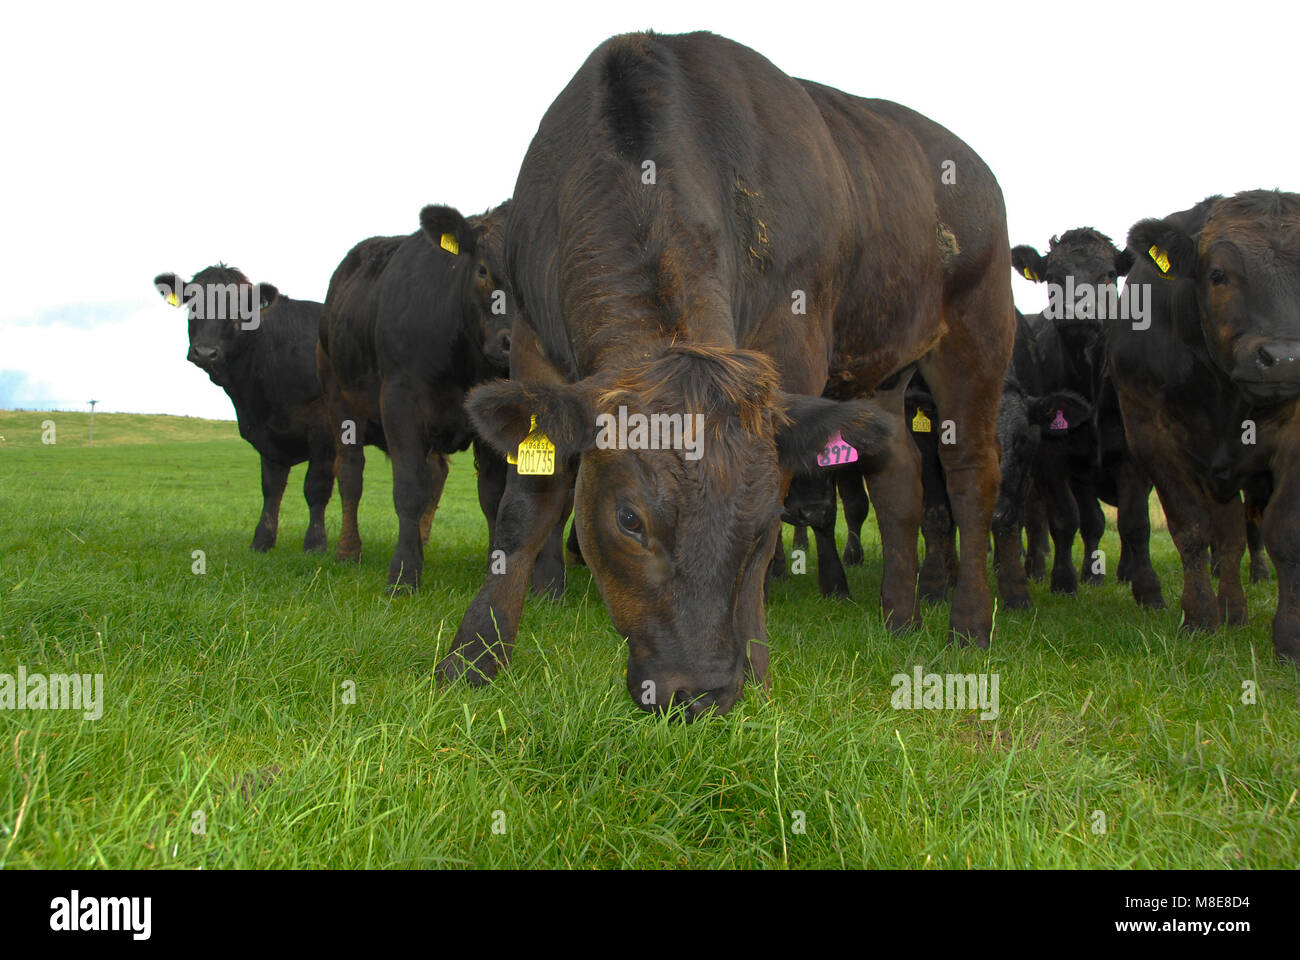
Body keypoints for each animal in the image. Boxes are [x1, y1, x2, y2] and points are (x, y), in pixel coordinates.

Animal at [154, 266, 334, 552]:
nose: (205, 352)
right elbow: (272, 488)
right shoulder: (268, 432)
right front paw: (262, 541)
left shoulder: (323, 425)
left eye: (238, 309)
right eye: (193, 303)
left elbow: (316, 486)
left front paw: (315, 544)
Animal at [318, 203, 539, 592]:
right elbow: (409, 488)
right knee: (350, 473)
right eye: (483, 269)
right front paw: (403, 574)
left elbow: (491, 496)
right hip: (339, 399)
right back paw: (349, 549)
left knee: (435, 475)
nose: (513, 343)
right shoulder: (399, 404)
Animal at [436, 31, 1015, 719]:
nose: (701, 690)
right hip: (885, 368)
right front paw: (474, 657)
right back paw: (900, 618)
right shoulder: (531, 341)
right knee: (898, 478)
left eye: (764, 523)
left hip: (979, 333)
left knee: (971, 477)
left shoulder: (793, 351)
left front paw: (758, 672)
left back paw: (970, 626)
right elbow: (527, 506)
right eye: (629, 520)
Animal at [1011, 229, 1164, 607]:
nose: (1078, 312)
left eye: (1108, 275)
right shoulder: (1054, 455)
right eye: (1052, 277)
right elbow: (1067, 520)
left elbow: (1135, 523)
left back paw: (1122, 572)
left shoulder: (1131, 456)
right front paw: (1065, 581)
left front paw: (1148, 588)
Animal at [1106, 190, 1299, 664]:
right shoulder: (1152, 437)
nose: (1285, 358)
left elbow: (1285, 530)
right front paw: (1199, 619)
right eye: (1217, 274)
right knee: (1227, 536)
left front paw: (1289, 638)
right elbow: (1191, 529)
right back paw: (1231, 610)